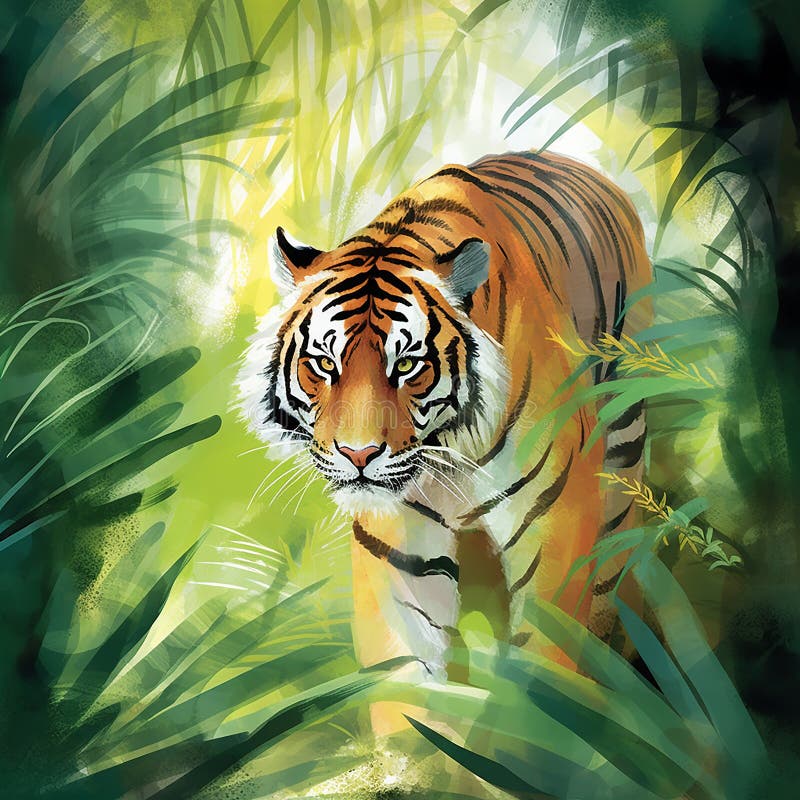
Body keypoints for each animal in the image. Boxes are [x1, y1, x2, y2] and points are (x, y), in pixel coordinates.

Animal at [239, 149, 651, 731]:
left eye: (407, 365)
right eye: (324, 362)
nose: (358, 455)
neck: (452, 452)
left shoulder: (557, 518)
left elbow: (544, 656)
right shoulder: (396, 546)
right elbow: (407, 676)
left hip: (624, 450)